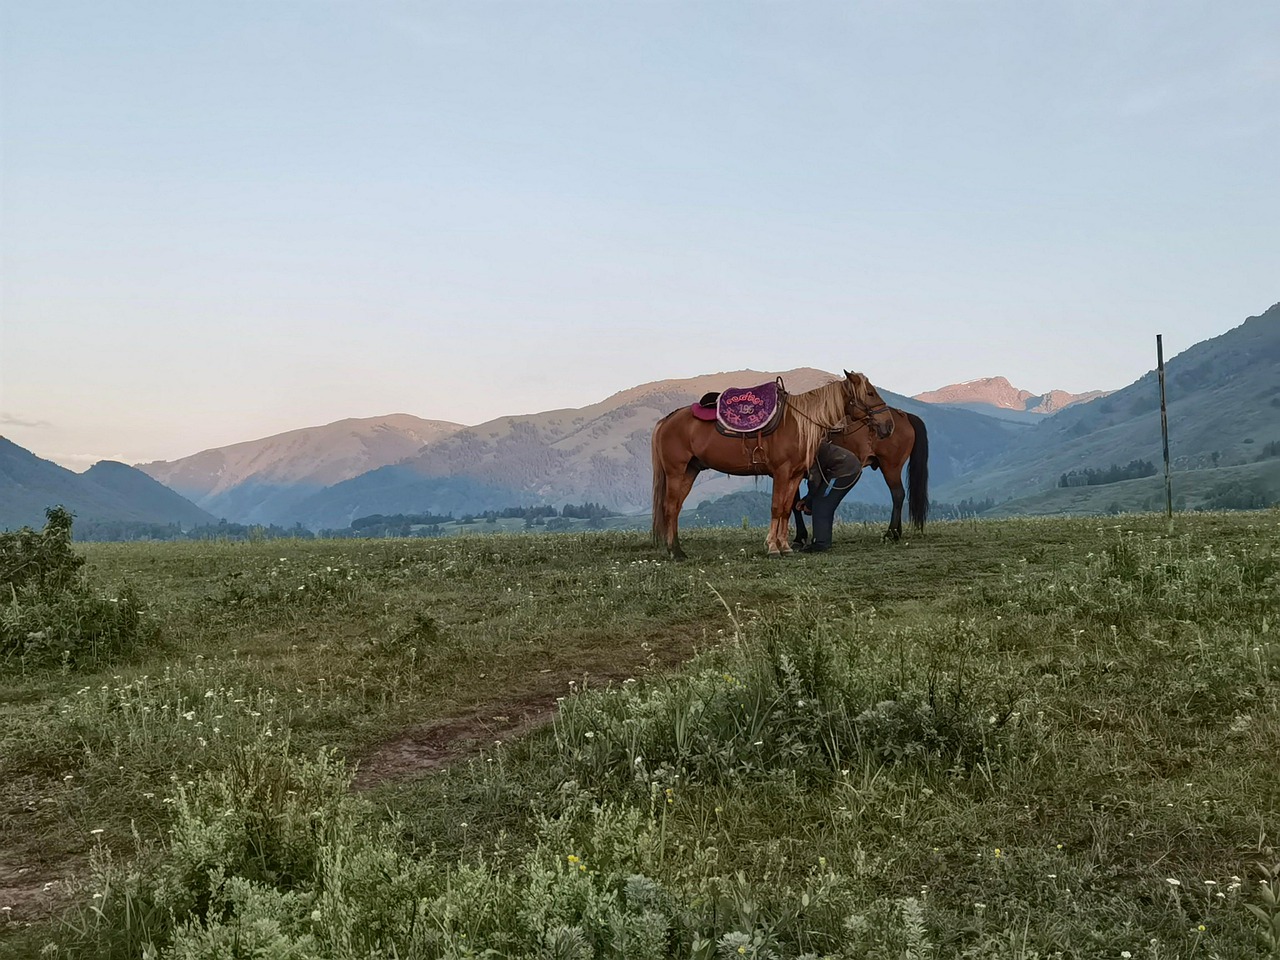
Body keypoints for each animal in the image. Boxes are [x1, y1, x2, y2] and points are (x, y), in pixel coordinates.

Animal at [651, 371, 896, 558]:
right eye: (870, 393)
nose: (889, 425)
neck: (798, 423)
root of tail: (667, 419)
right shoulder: (781, 472)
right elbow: (776, 507)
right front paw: (772, 547)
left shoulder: (794, 475)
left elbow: (787, 510)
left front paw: (785, 546)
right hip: (676, 471)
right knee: (670, 507)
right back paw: (674, 552)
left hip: (690, 471)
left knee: (675, 508)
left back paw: (678, 549)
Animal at [791, 406, 929, 544]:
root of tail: (905, 415)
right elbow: (793, 504)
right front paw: (800, 536)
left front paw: (800, 536)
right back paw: (896, 532)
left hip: (891, 467)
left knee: (898, 494)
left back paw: (890, 533)